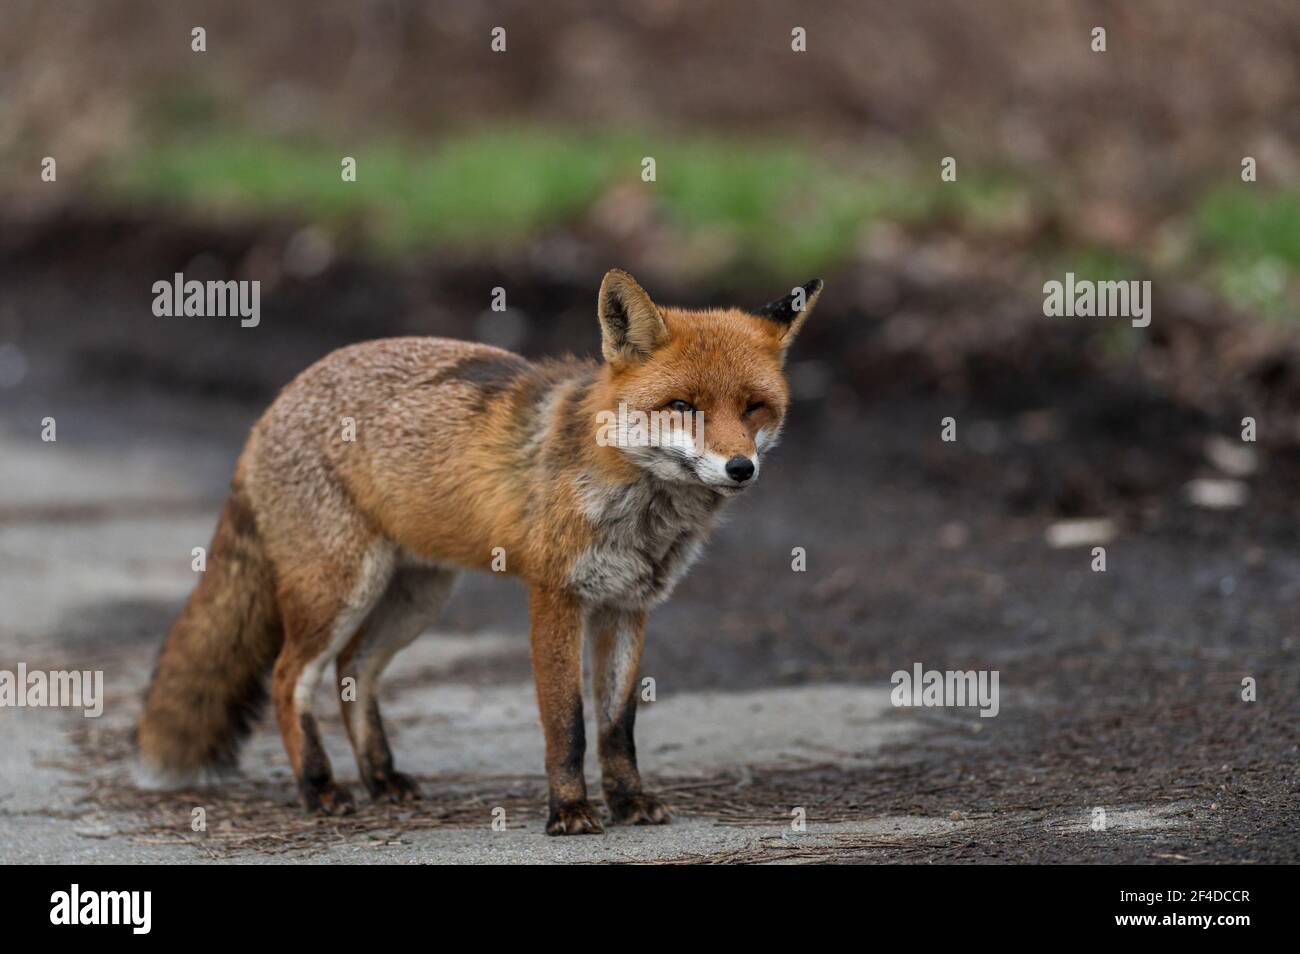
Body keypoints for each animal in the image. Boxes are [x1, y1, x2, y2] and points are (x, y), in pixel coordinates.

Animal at [137, 268, 822, 835]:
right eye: (683, 407)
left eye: (754, 407)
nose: (740, 468)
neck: (640, 507)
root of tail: (276, 404)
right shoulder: (555, 596)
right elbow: (567, 723)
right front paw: (569, 811)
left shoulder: (629, 605)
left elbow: (617, 724)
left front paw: (630, 802)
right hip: (339, 590)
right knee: (288, 679)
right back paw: (319, 787)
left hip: (416, 599)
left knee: (353, 670)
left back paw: (381, 777)